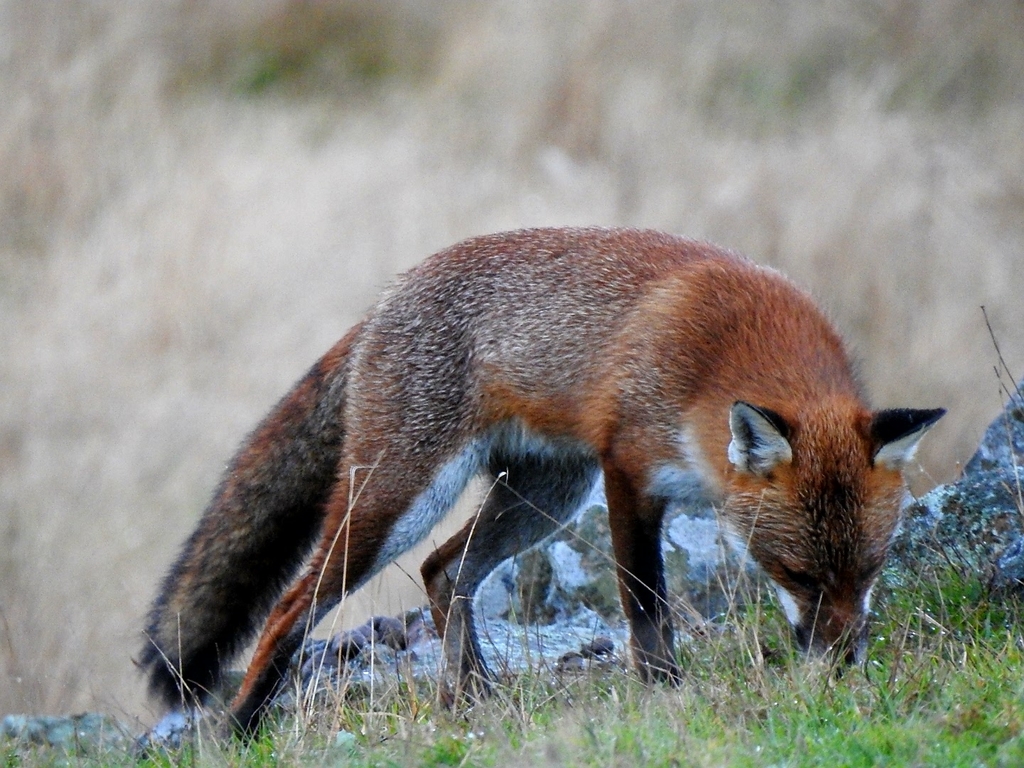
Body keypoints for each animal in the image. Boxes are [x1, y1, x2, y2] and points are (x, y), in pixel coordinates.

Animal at [140, 226, 944, 735]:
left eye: (871, 567)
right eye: (795, 574)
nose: (841, 667)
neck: (720, 354)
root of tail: (384, 303)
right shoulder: (629, 471)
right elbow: (646, 605)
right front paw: (665, 694)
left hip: (543, 498)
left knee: (444, 571)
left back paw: (472, 700)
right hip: (398, 500)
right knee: (292, 607)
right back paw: (241, 728)